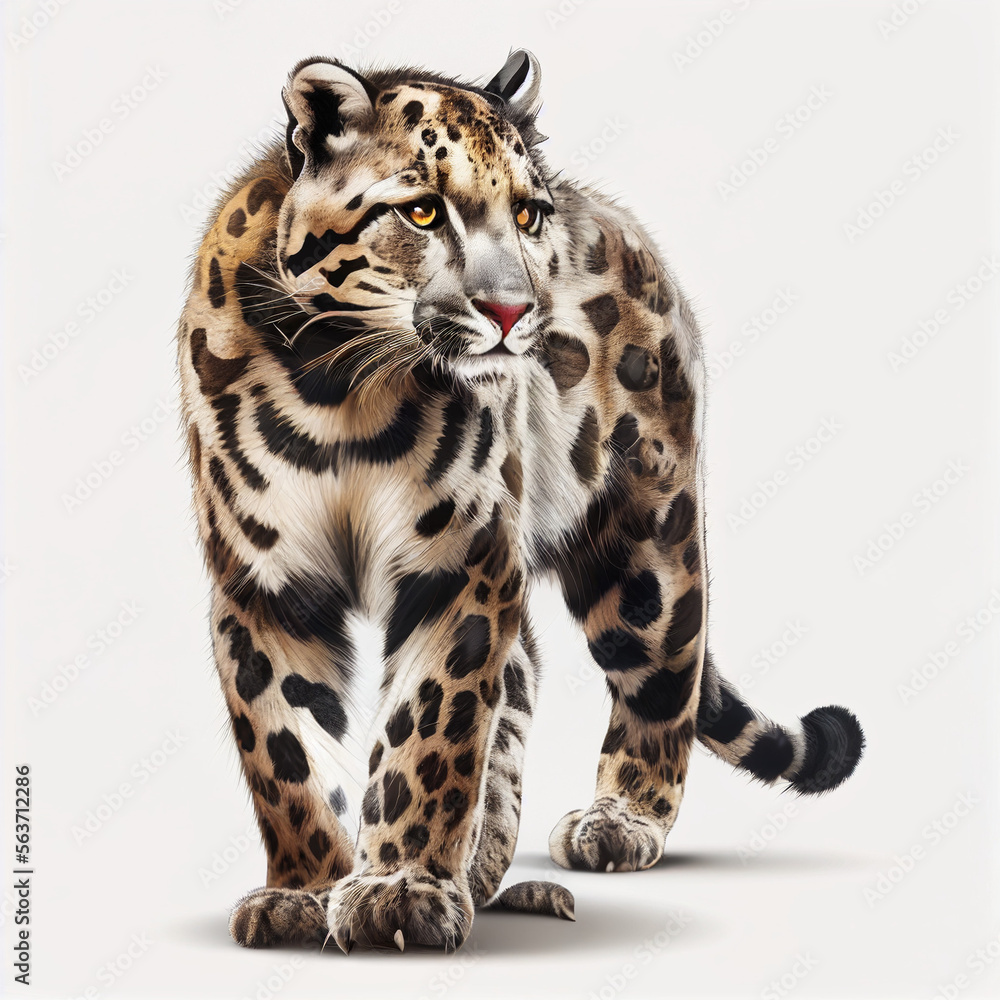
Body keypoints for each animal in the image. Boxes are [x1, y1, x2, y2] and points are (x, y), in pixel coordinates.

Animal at [177, 48, 865, 953]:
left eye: (529, 215)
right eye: (422, 211)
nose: (514, 311)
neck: (341, 384)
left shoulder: (459, 560)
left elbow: (430, 728)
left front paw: (398, 889)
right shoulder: (264, 581)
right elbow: (285, 751)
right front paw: (304, 892)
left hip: (646, 550)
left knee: (662, 686)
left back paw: (615, 823)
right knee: (524, 670)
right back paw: (486, 864)